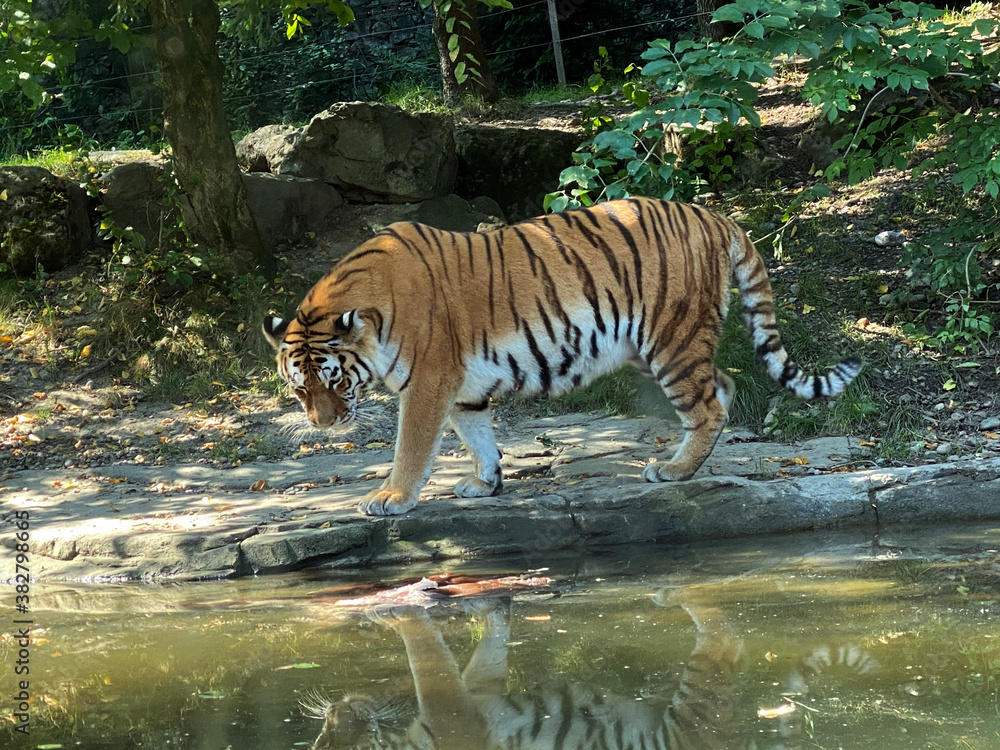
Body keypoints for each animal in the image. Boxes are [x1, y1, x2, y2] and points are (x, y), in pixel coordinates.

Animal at [264, 197, 861, 517]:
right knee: (726, 383)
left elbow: (411, 446)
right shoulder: (462, 387)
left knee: (709, 405)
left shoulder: (429, 380)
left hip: (670, 339)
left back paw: (673, 470)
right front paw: (486, 483)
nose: (323, 425)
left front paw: (391, 496)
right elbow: (477, 436)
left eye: (335, 383)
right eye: (299, 388)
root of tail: (714, 216)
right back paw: (691, 463)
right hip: (652, 346)